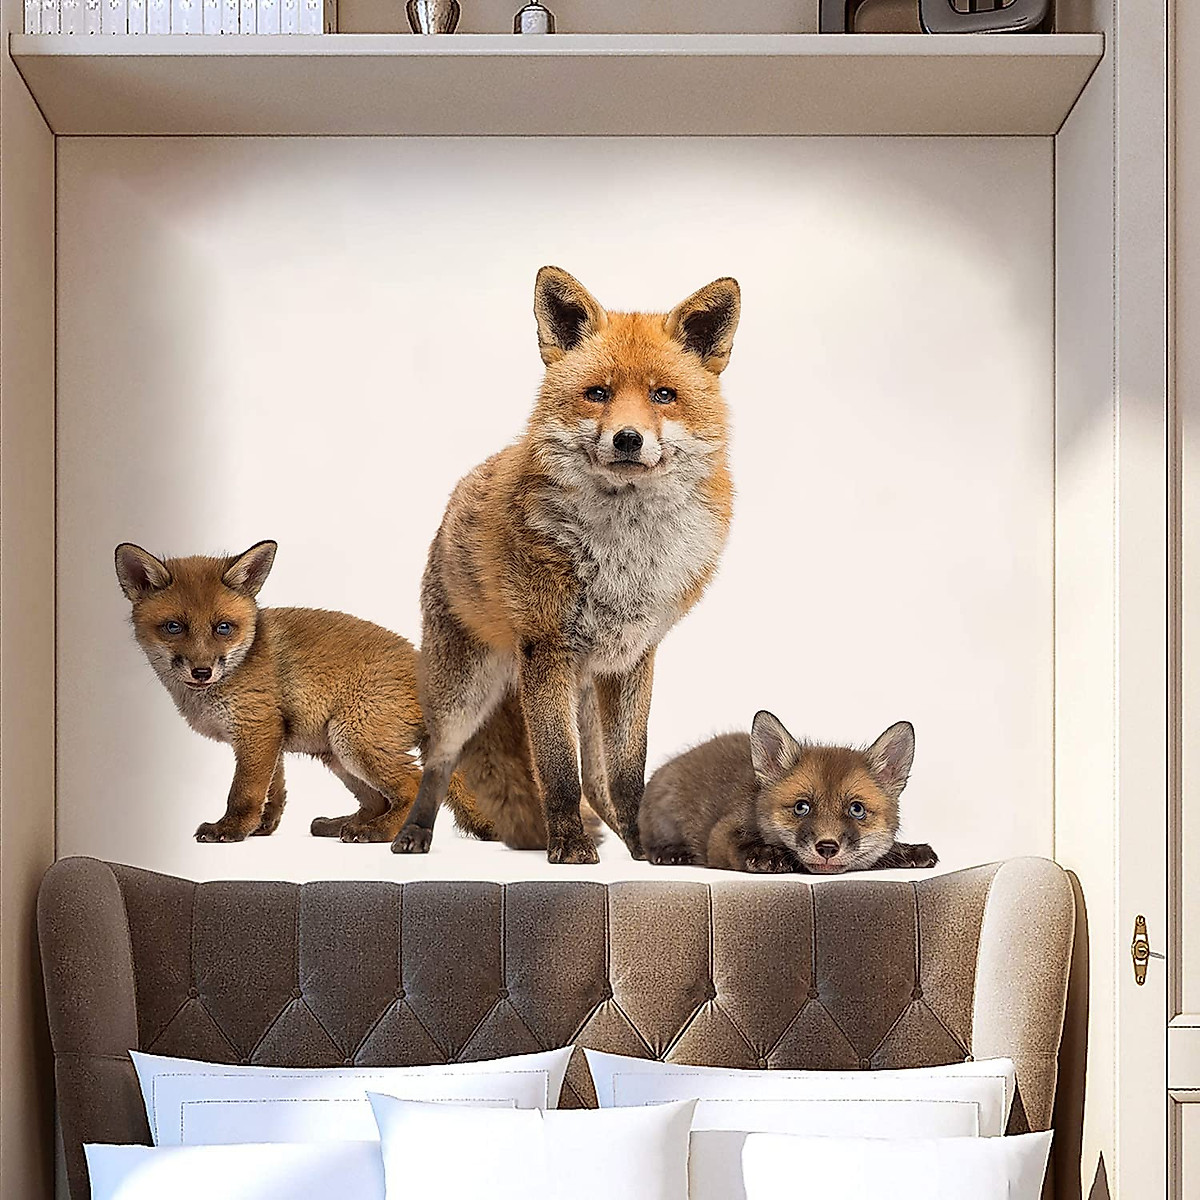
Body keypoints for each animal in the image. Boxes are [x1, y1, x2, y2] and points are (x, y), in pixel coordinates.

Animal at [114, 540, 481, 844]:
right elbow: (273, 791)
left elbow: (244, 792)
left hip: (353, 740)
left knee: (411, 786)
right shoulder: (272, 735)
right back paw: (343, 824)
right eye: (174, 627)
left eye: (223, 628)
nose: (202, 672)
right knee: (378, 800)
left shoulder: (257, 730)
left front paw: (231, 829)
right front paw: (261, 828)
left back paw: (377, 831)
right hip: (336, 753)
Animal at [391, 266, 741, 864]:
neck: (625, 556)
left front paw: (646, 842)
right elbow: (557, 771)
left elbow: (626, 774)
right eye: (597, 394)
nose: (628, 438)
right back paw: (415, 832)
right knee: (438, 760)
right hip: (467, 689)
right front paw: (569, 846)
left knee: (597, 783)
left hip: (584, 690)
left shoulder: (632, 658)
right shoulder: (547, 650)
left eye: (663, 396)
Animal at [638, 711, 938, 874]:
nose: (827, 848)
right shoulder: (720, 835)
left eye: (857, 810)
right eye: (801, 807)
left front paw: (910, 851)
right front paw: (767, 855)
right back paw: (670, 851)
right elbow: (739, 845)